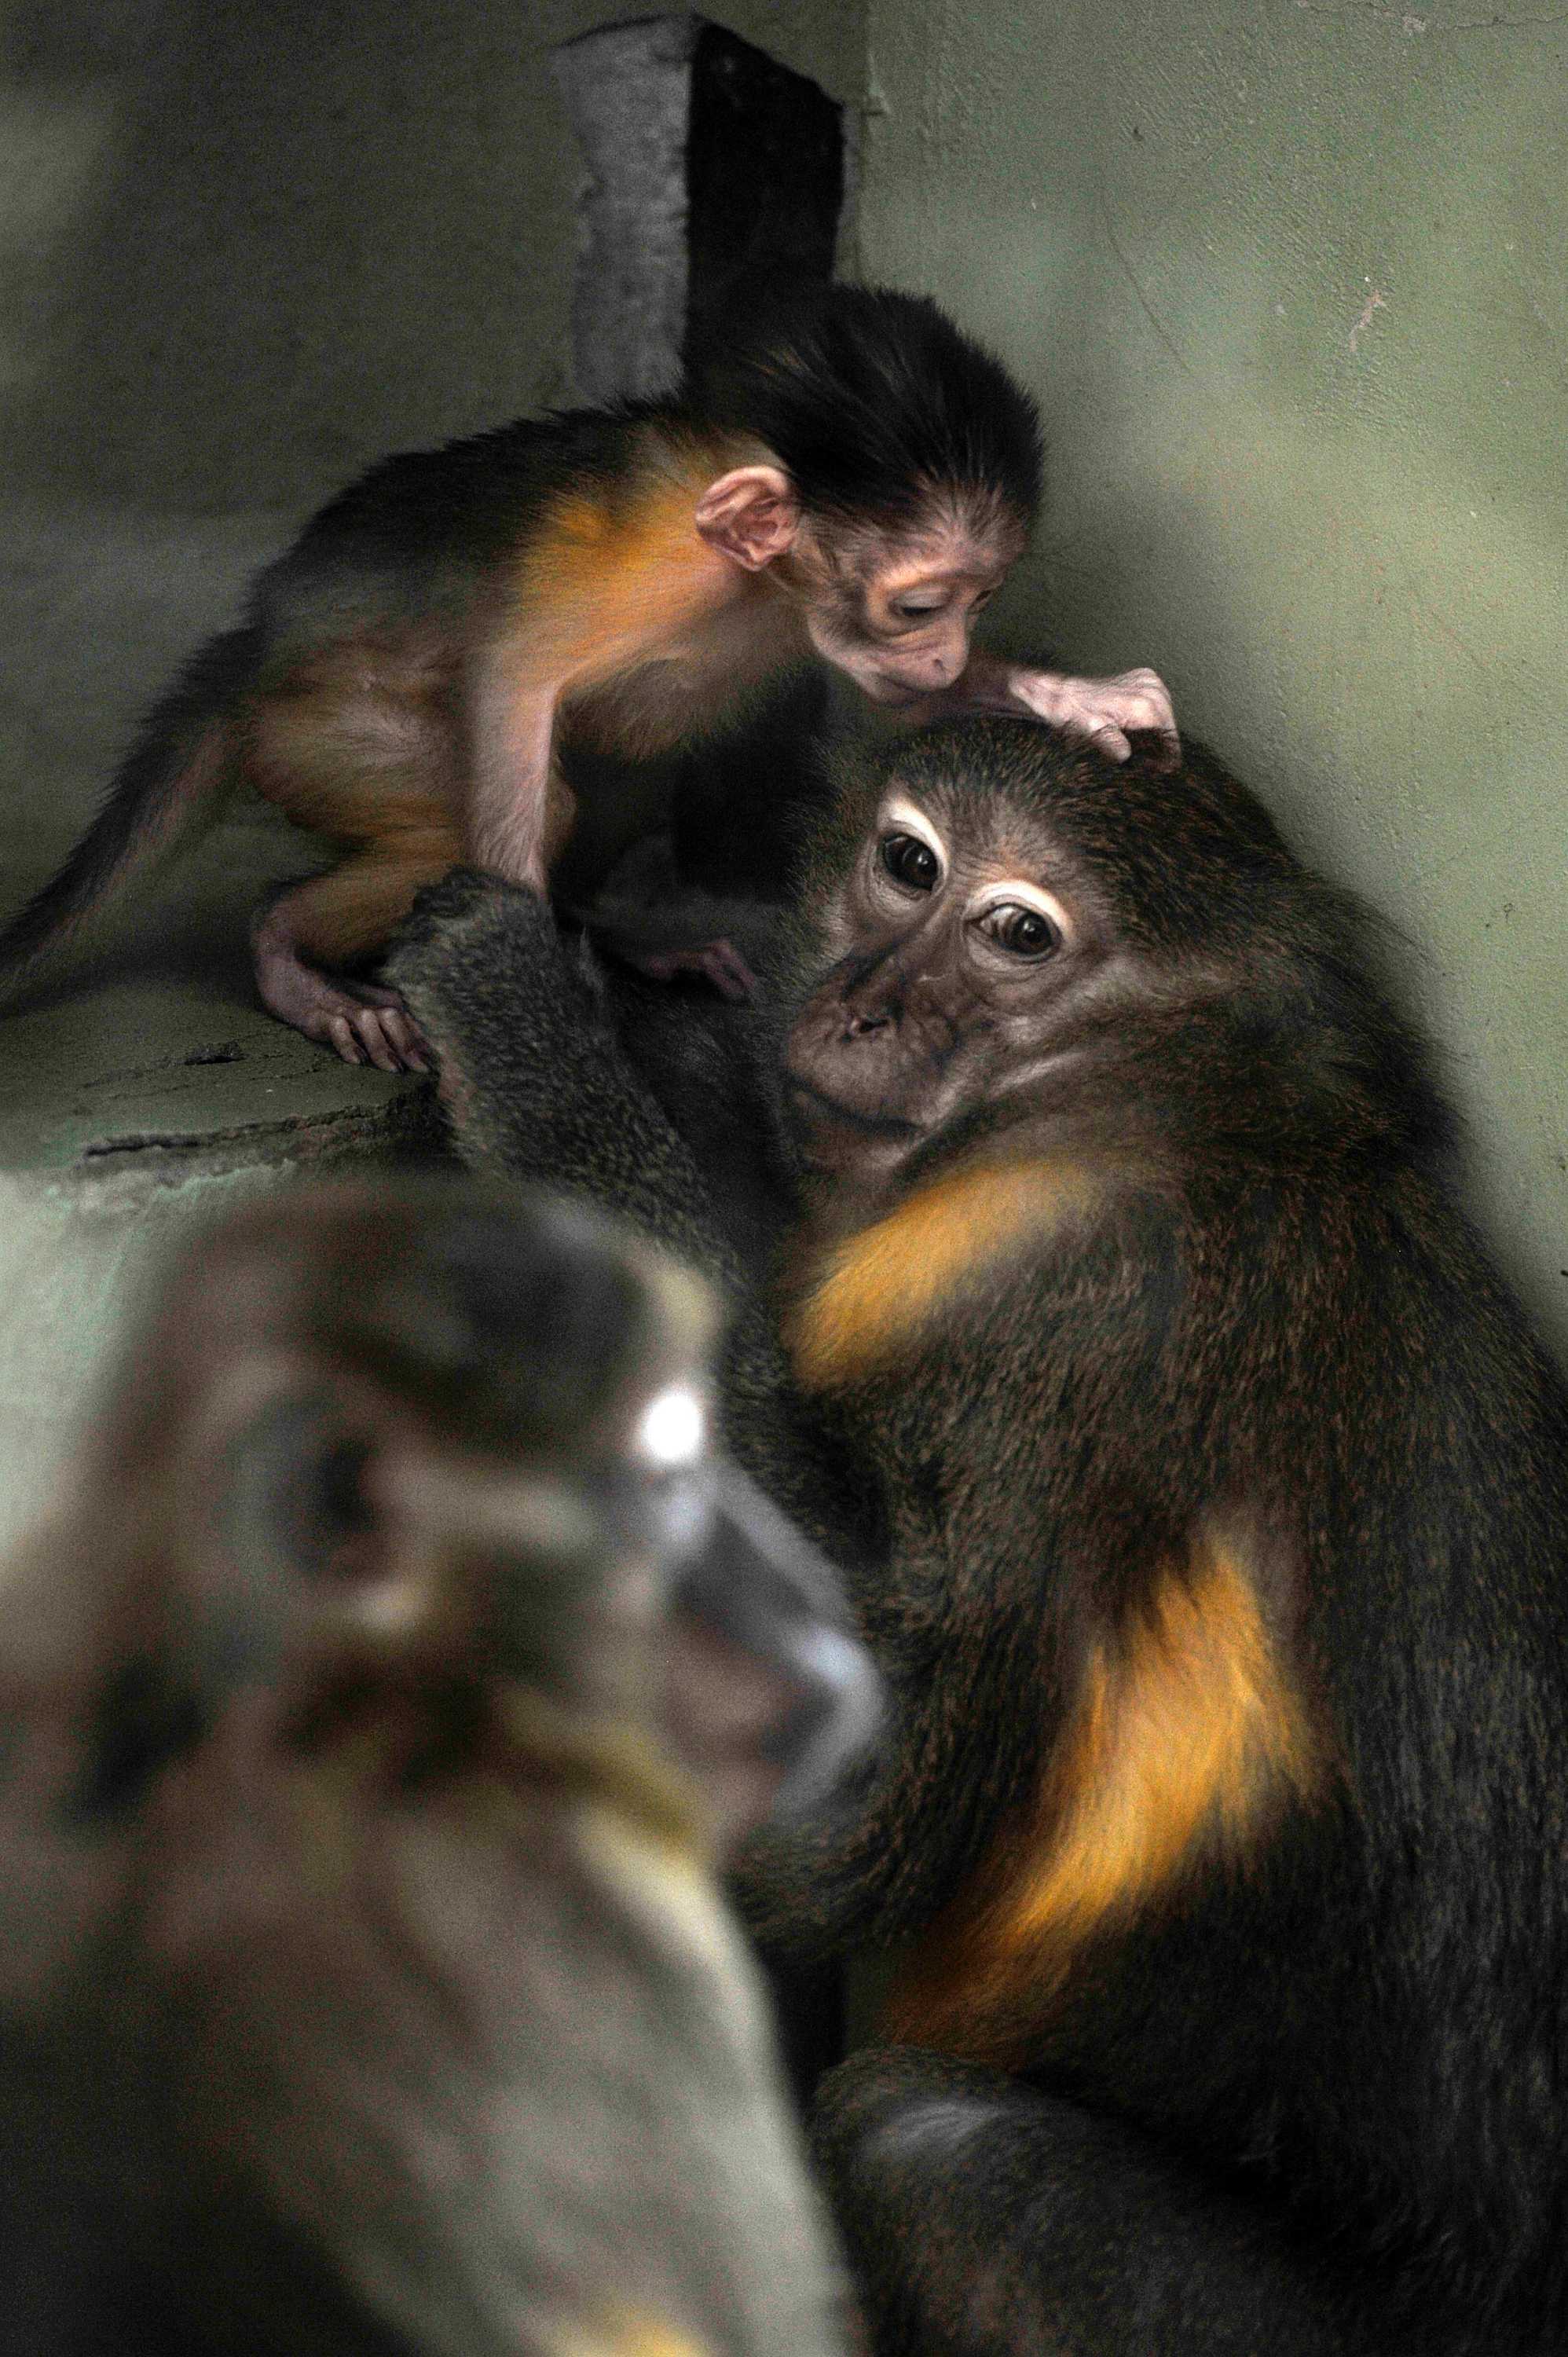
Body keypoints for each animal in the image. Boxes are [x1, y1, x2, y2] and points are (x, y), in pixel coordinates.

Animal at [0, 284, 1177, 1077]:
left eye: (976, 607)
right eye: (924, 606)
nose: (943, 648)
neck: (754, 580)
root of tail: (249, 652)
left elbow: (886, 703)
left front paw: (1069, 696)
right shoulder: (645, 561)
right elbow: (515, 679)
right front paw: (522, 977)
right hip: (313, 734)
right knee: (528, 786)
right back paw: (285, 944)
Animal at [384, 721, 1568, 2357]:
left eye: (1016, 935)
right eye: (907, 863)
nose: (865, 1005)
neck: (1122, 1101)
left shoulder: (1062, 1306)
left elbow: (852, 1809)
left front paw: (521, 1031)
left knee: (928, 2146)